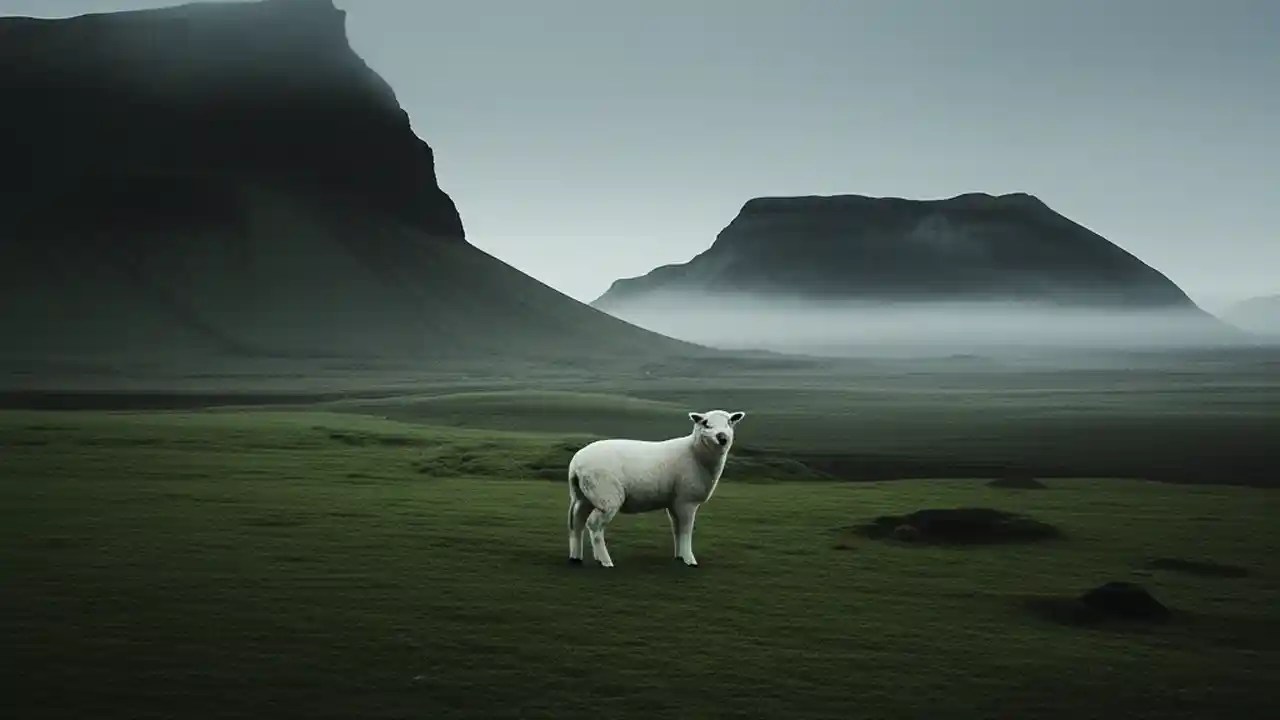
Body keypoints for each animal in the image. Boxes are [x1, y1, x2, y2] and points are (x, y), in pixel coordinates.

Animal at [566, 409, 746, 568]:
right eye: (706, 423)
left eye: (730, 422)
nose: (722, 437)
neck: (695, 453)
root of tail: (575, 464)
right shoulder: (686, 501)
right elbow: (686, 530)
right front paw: (690, 560)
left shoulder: (674, 502)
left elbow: (677, 529)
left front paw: (679, 556)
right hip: (606, 496)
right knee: (594, 525)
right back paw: (605, 561)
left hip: (584, 496)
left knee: (576, 522)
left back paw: (576, 557)